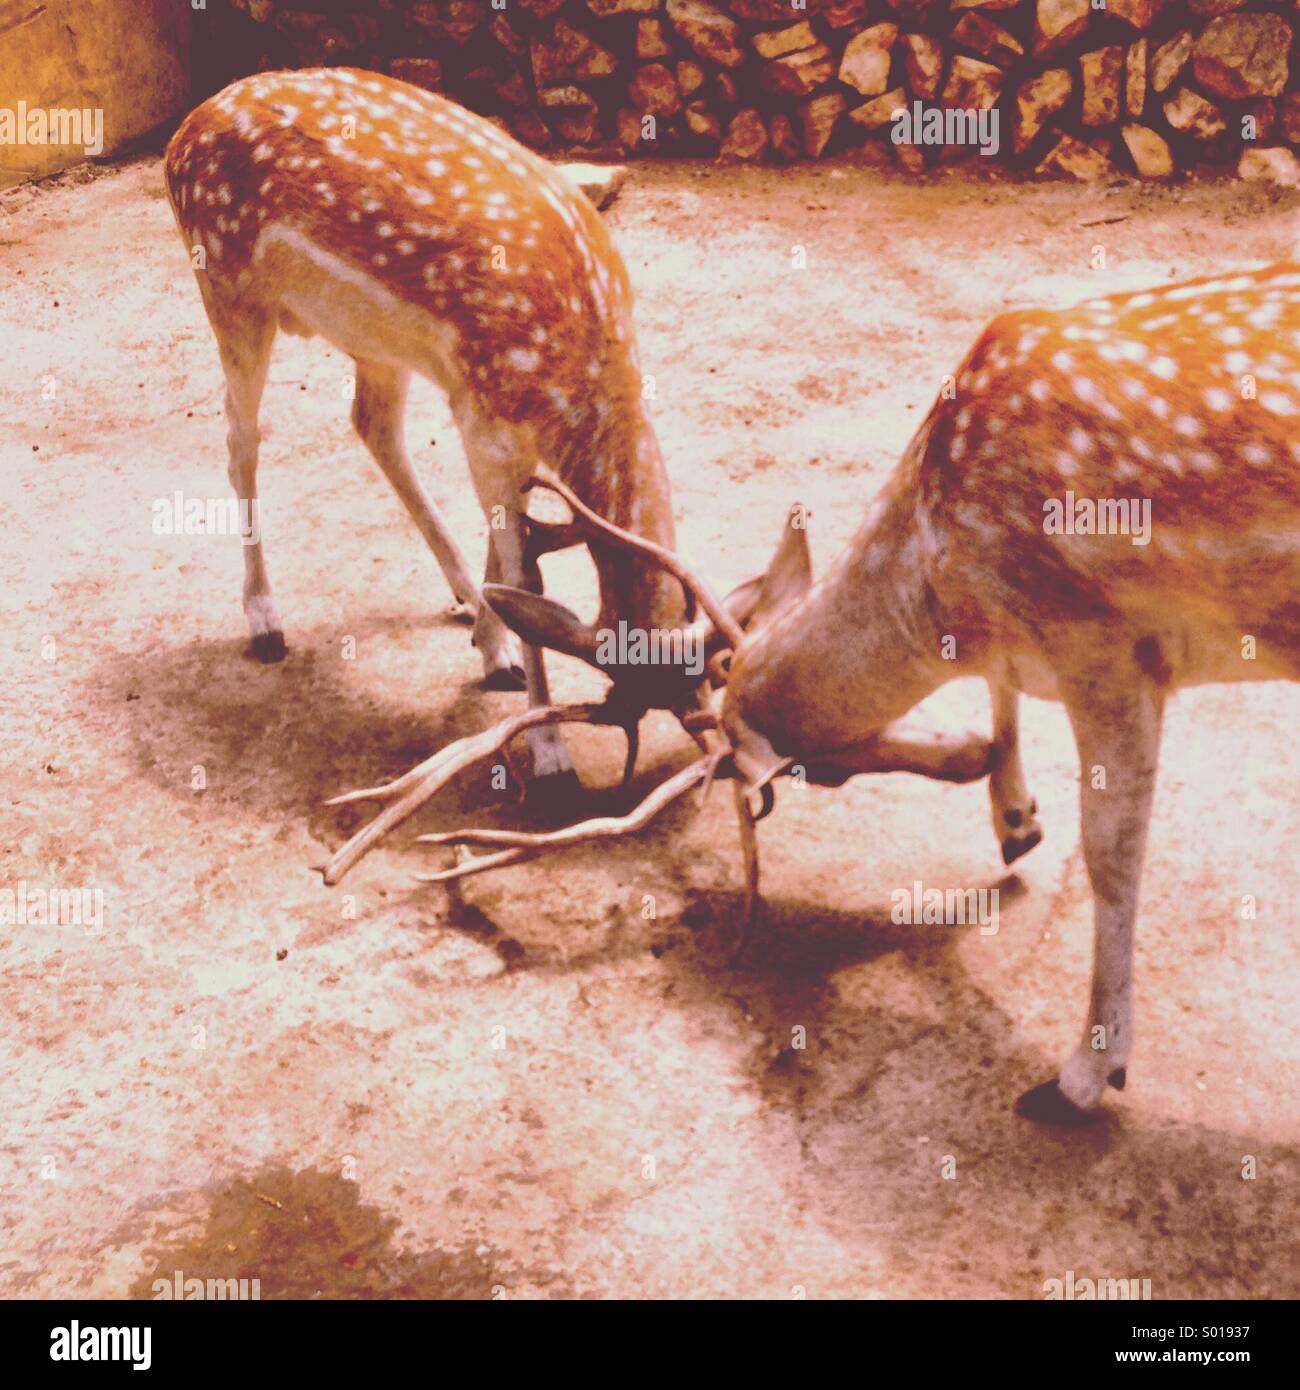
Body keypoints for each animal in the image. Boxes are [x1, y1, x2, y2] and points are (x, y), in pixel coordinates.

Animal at [161, 66, 697, 803]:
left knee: (370, 424)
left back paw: (465, 604)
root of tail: (178, 138)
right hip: (228, 290)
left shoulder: (493, 422)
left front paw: (493, 648)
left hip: (373, 344)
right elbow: (526, 577)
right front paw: (551, 754)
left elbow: (513, 560)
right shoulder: (485, 416)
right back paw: (266, 621)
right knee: (241, 441)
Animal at [322, 261, 1300, 1128]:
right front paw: (1017, 820)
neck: (950, 567)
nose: (966, 758)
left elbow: (1113, 857)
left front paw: (1083, 1078)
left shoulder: (1107, 646)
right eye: (819, 771)